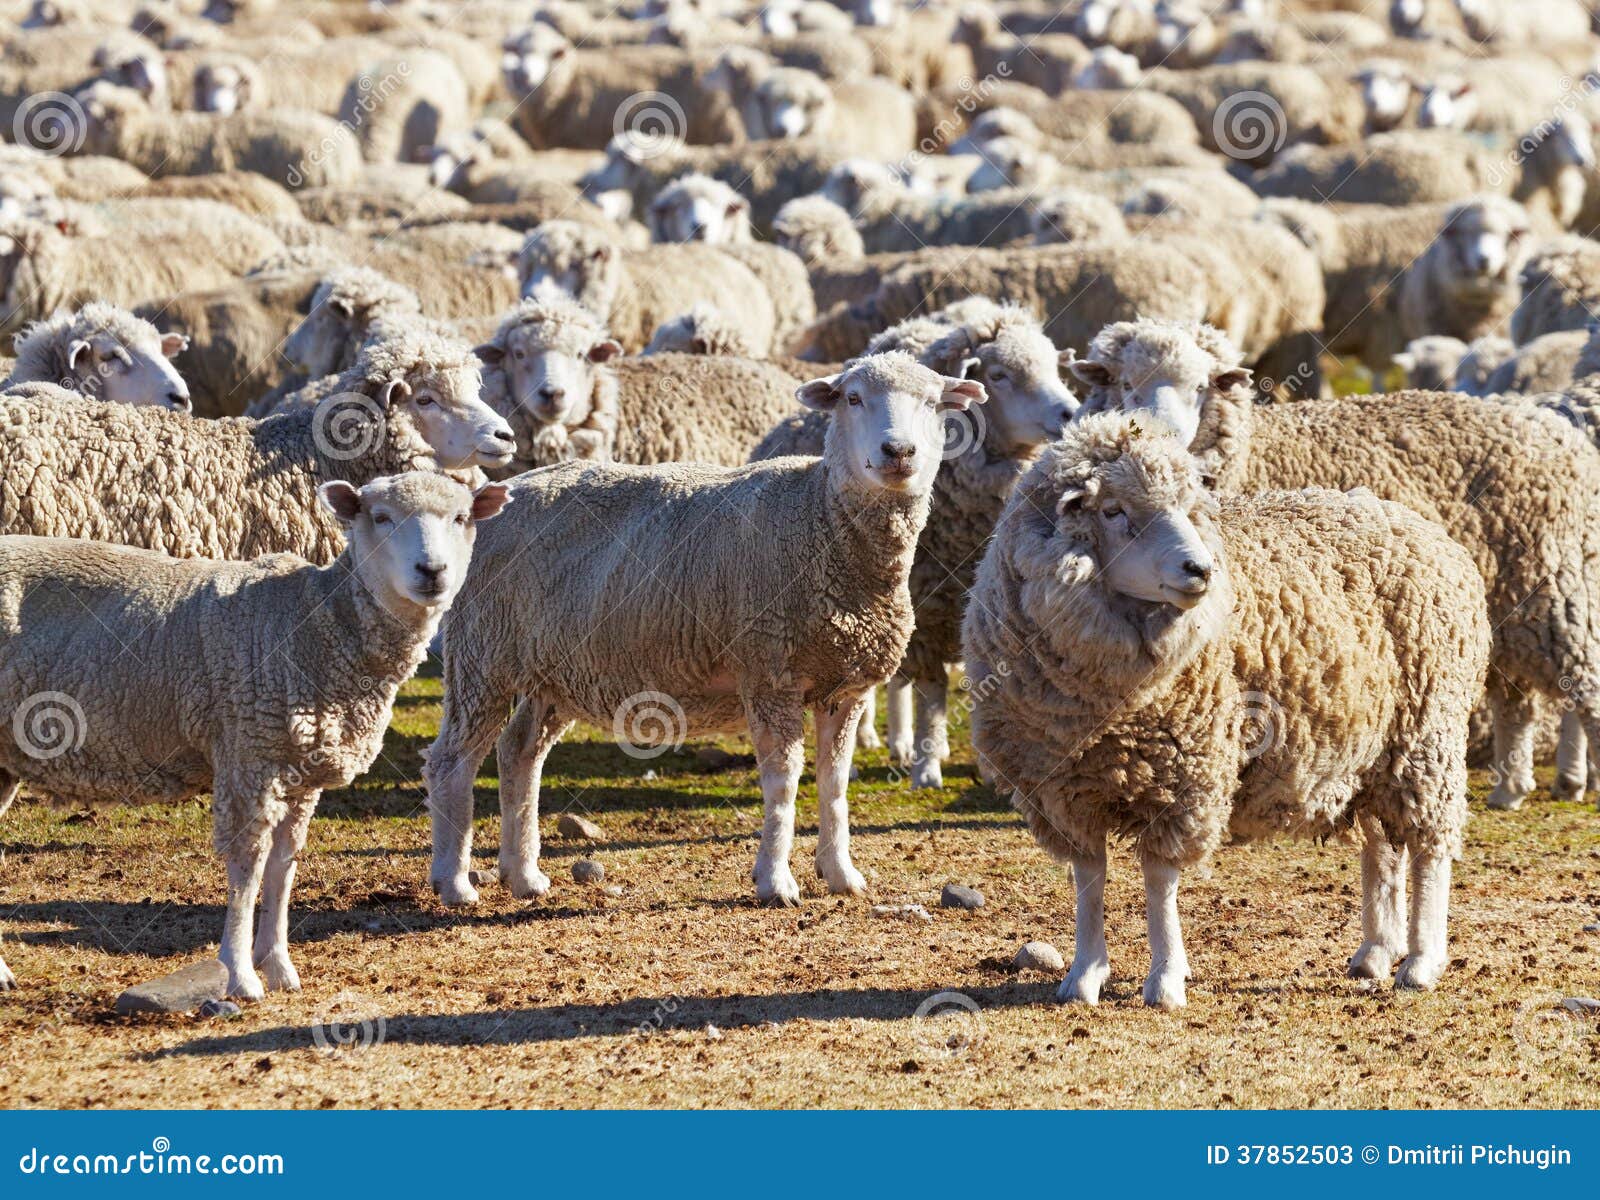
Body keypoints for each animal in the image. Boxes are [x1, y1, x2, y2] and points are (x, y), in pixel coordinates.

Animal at [0, 470, 510, 999]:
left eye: (462, 517)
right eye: (382, 517)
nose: (432, 571)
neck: (316, 624)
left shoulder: (301, 772)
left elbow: (283, 867)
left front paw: (279, 966)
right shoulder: (250, 758)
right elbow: (248, 867)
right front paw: (241, 974)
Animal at [423, 350, 986, 907]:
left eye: (934, 403)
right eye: (852, 398)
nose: (899, 451)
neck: (820, 519)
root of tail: (499, 494)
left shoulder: (844, 689)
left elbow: (835, 784)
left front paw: (841, 873)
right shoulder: (770, 674)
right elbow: (784, 782)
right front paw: (776, 881)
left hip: (552, 674)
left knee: (518, 752)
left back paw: (523, 875)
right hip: (481, 653)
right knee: (451, 762)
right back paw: (454, 882)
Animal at [753, 301, 1077, 786]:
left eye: (1054, 366)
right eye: (999, 374)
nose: (1070, 412)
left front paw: (985, 765)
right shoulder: (926, 602)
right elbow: (931, 689)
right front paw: (926, 767)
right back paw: (878, 742)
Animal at [963, 413, 1489, 1005]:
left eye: (1188, 508)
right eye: (1113, 510)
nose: (1200, 569)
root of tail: (1429, 532)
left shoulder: (1180, 773)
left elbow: (1159, 880)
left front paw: (1165, 978)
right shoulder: (1064, 790)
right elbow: (1088, 876)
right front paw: (1084, 975)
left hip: (1428, 735)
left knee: (1429, 851)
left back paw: (1420, 961)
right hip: (1372, 753)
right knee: (1382, 846)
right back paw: (1376, 952)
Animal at [1075, 317, 1600, 811]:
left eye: (1202, 386)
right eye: (1124, 382)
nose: (1162, 432)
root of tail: (1548, 422)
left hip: (1554, 586)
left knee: (1583, 683)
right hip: (1509, 600)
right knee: (1517, 699)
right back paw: (1512, 787)